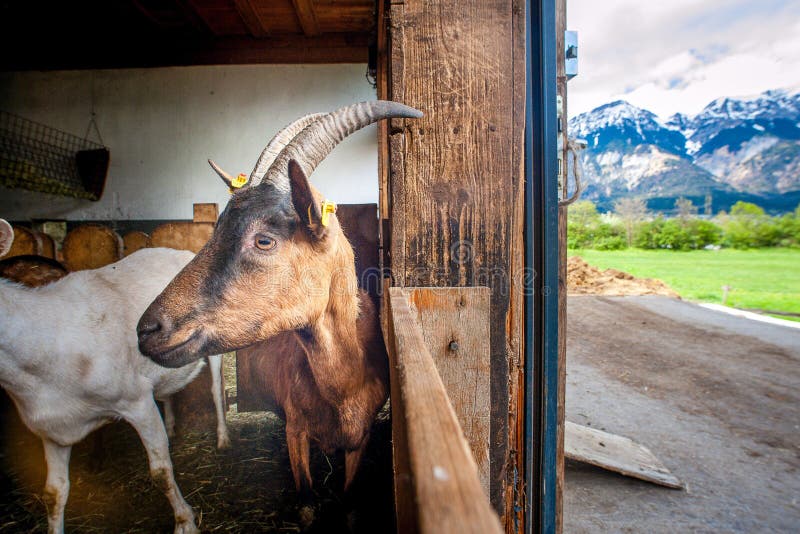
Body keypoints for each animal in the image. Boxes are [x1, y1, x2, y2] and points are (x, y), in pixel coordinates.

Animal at [0, 219, 230, 534]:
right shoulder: (52, 428)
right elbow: (53, 494)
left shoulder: (137, 401)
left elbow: (161, 473)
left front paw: (185, 521)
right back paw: (172, 426)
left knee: (216, 389)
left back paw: (222, 437)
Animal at [137, 101, 421, 503]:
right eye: (217, 227)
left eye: (264, 240)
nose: (147, 329)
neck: (343, 385)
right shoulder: (295, 431)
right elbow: (304, 496)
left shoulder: (359, 441)